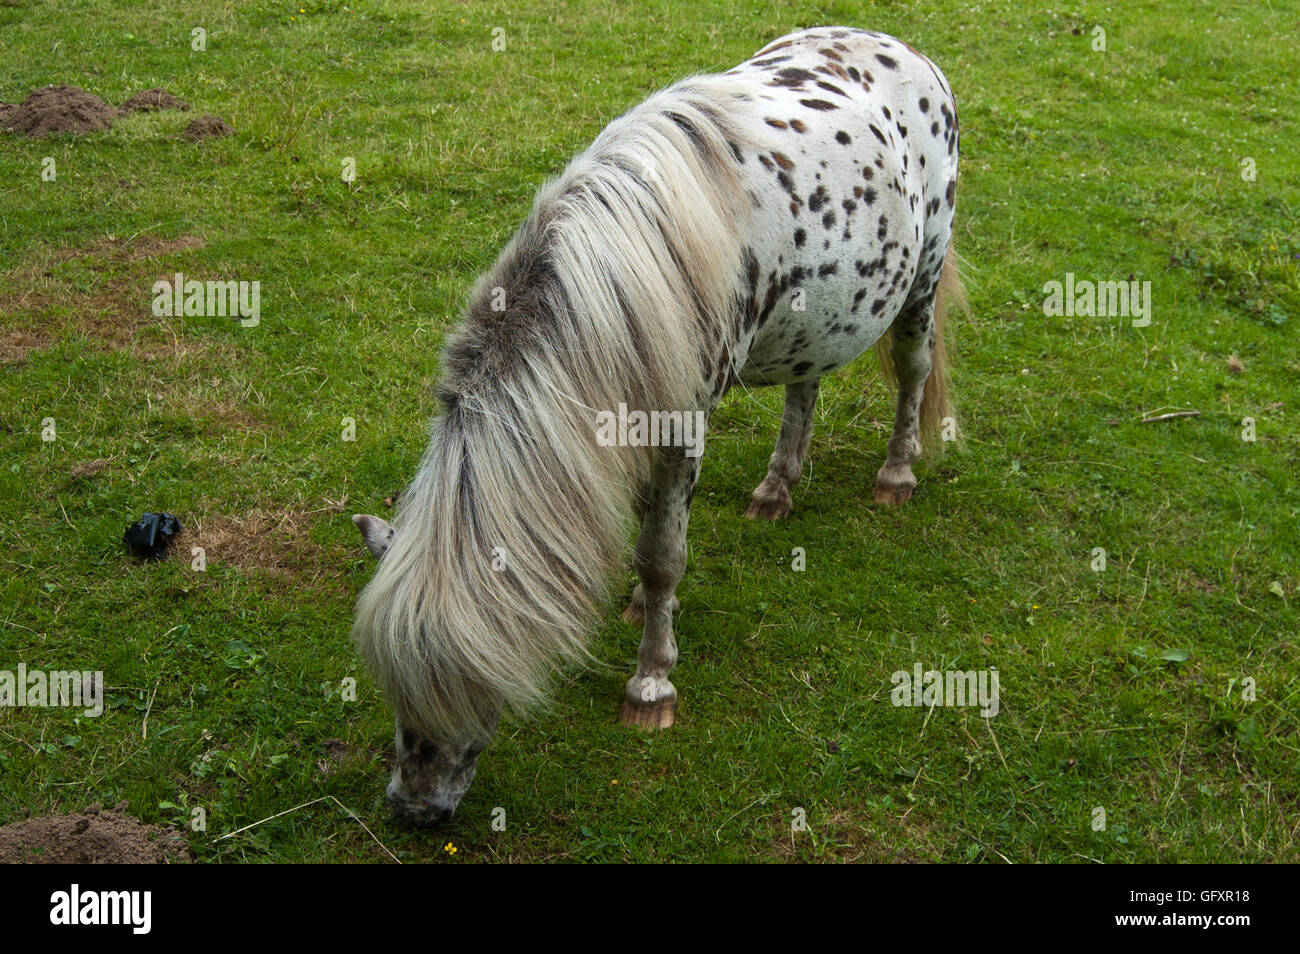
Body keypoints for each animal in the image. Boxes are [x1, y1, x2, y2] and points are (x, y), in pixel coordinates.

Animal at [351, 26, 964, 824]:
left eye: (467, 679)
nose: (414, 806)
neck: (628, 271)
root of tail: (904, 50)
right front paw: (645, 610)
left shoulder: (681, 426)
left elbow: (661, 551)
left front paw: (651, 683)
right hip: (817, 321)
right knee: (804, 392)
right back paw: (776, 491)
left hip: (922, 278)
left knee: (913, 370)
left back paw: (896, 473)